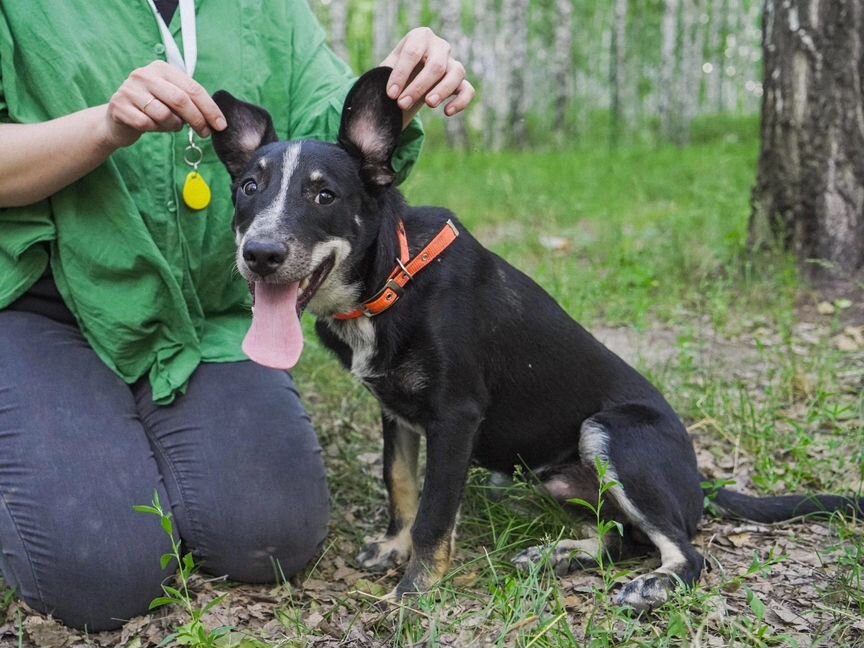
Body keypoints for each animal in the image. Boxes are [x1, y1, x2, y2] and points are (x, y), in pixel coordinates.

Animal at [209, 68, 864, 612]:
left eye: (324, 195)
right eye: (248, 188)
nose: (259, 254)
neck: (392, 279)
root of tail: (699, 481)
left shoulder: (456, 417)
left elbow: (433, 515)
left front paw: (414, 590)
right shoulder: (396, 413)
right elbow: (400, 485)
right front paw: (394, 548)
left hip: (609, 436)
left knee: (684, 549)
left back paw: (650, 585)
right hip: (557, 478)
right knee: (620, 537)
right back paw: (557, 554)